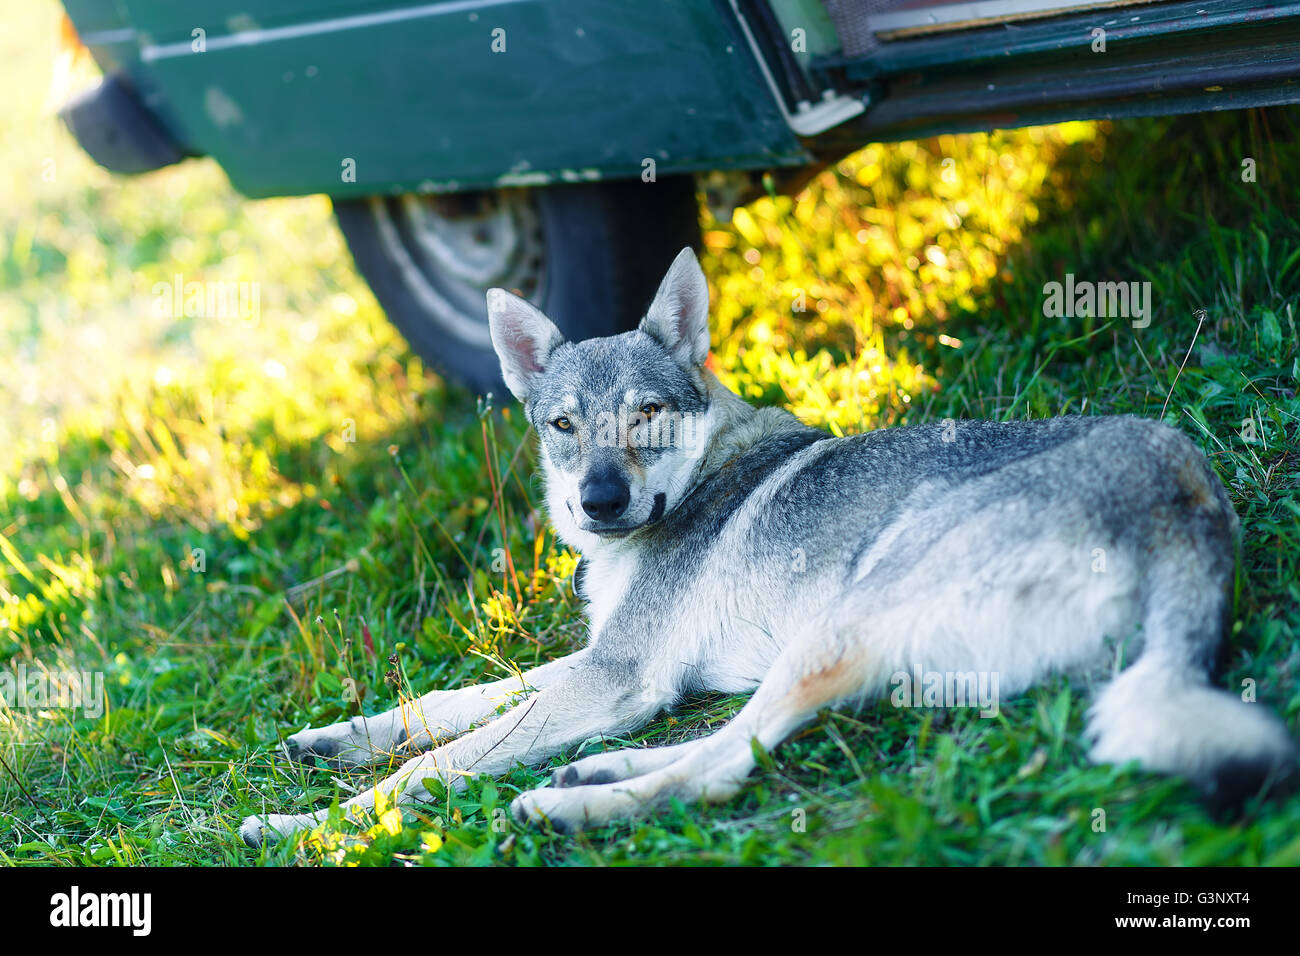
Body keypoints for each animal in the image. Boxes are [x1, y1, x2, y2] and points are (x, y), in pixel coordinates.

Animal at [240, 247, 1296, 848]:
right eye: (564, 426)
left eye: (648, 414)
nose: (599, 502)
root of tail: (1195, 504)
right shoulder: (600, 663)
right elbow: (452, 704)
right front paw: (334, 741)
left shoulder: (618, 677)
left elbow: (432, 767)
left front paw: (312, 826)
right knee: (730, 740)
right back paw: (587, 776)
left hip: (848, 613)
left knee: (725, 768)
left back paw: (564, 807)